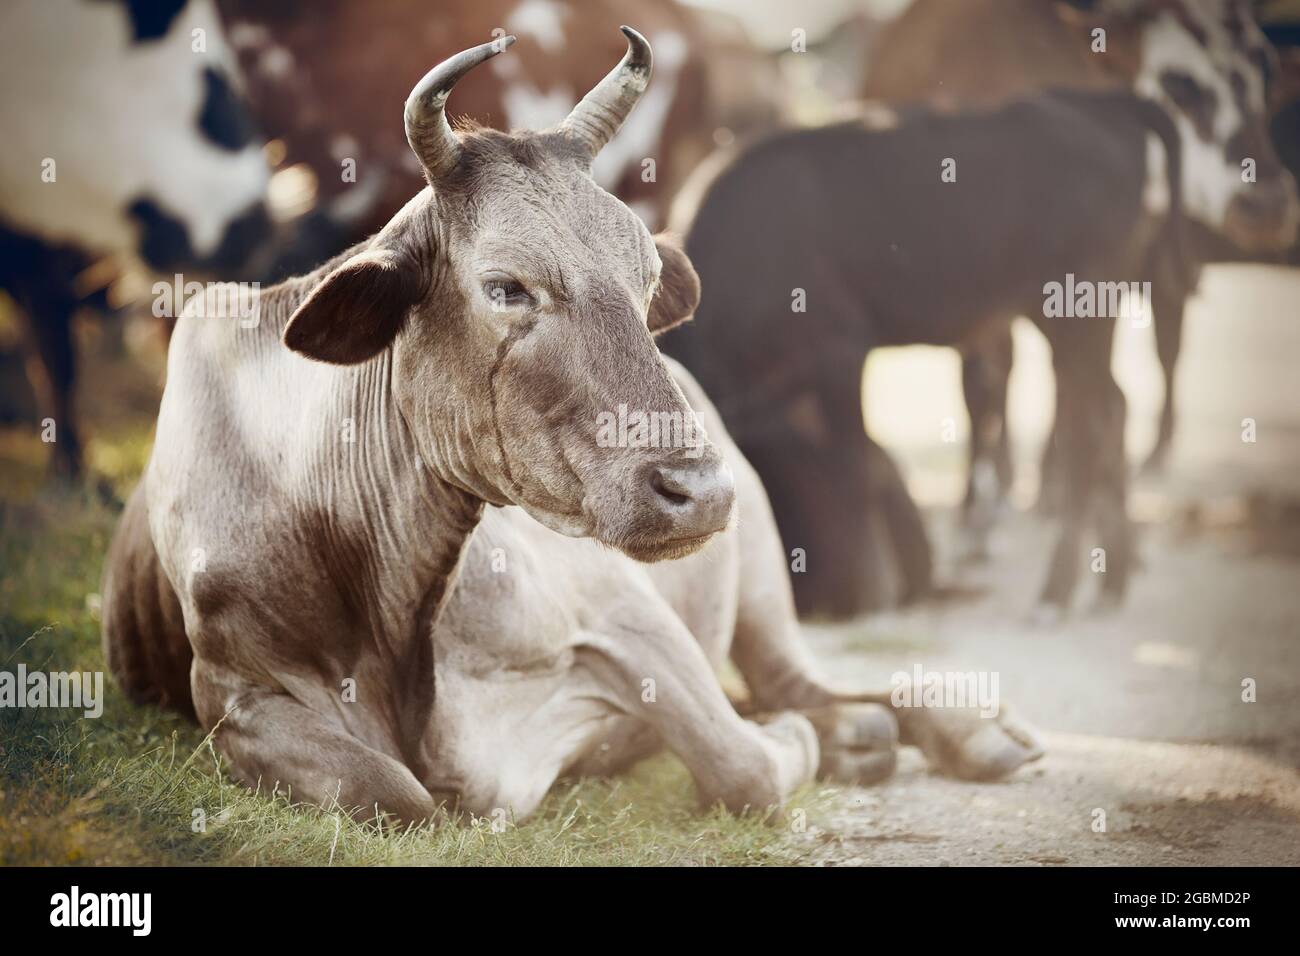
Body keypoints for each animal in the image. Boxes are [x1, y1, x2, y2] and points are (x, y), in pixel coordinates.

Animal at [101, 30, 1042, 823]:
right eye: (506, 287)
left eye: (648, 273)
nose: (698, 490)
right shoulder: (238, 699)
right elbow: (397, 793)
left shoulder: (622, 611)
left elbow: (744, 764)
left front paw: (802, 745)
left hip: (764, 589)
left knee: (809, 686)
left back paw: (964, 733)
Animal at [665, 0, 1299, 620]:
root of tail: (1104, 105)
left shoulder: (838, 353)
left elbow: (855, 466)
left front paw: (870, 593)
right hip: (1078, 314)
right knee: (1113, 408)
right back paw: (1111, 580)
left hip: (1077, 310)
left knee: (1091, 423)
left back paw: (1057, 591)